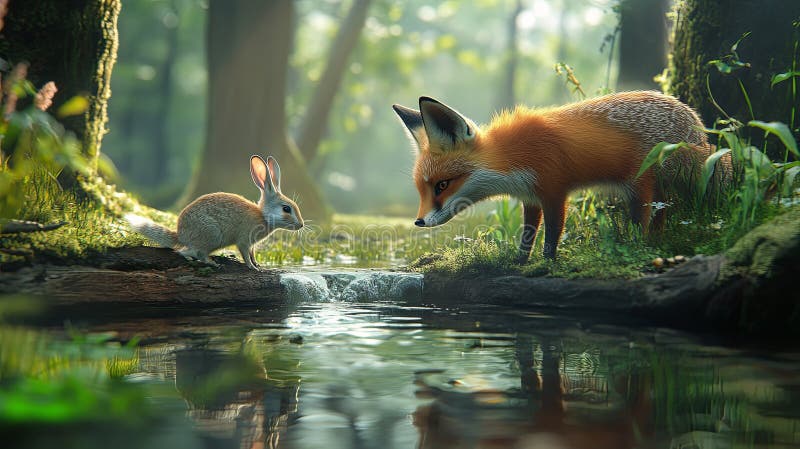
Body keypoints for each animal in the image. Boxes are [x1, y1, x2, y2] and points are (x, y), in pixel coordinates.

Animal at [126, 155, 304, 270]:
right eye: (286, 209)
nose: (301, 225)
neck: (264, 216)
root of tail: (180, 234)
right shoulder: (243, 240)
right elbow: (245, 254)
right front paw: (253, 268)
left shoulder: (252, 245)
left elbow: (252, 254)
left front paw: (258, 264)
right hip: (213, 235)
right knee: (189, 252)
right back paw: (210, 262)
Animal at [393, 90, 727, 261]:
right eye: (422, 189)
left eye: (442, 185)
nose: (418, 222)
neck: (511, 158)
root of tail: (693, 118)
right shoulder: (529, 196)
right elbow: (528, 235)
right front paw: (518, 263)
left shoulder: (554, 189)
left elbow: (552, 234)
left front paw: (545, 265)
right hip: (654, 191)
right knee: (662, 214)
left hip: (639, 187)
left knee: (643, 223)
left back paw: (640, 248)